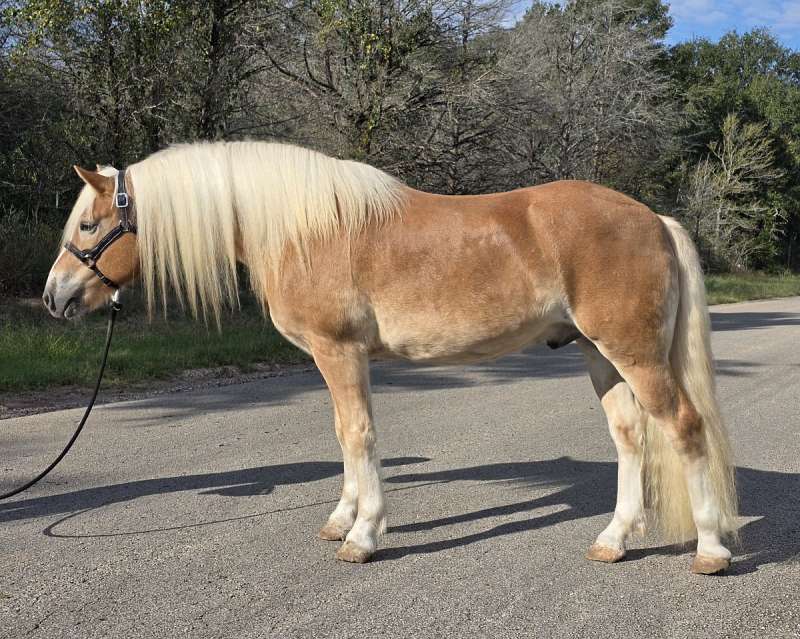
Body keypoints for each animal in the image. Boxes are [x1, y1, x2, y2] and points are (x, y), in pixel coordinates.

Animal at [43, 141, 738, 574]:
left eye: (87, 225)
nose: (54, 297)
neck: (303, 229)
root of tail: (655, 218)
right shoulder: (338, 359)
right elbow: (344, 434)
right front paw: (342, 518)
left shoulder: (339, 351)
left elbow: (358, 435)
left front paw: (363, 535)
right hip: (600, 355)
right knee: (630, 437)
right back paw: (613, 540)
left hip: (633, 354)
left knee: (685, 429)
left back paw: (709, 549)